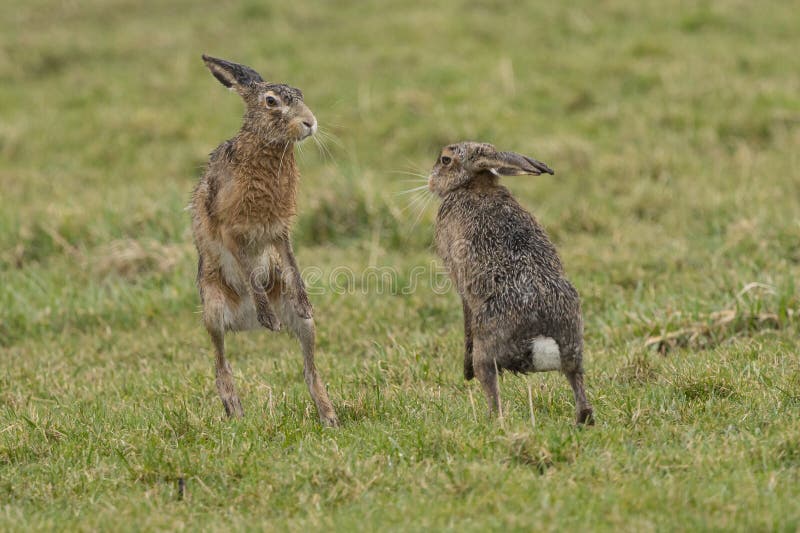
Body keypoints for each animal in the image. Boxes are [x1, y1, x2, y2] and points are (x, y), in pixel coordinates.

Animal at [190, 54, 338, 427]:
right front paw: (268, 319)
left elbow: (292, 264)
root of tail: (241, 323)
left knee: (309, 369)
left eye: (300, 94)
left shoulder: (280, 232)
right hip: (212, 308)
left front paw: (303, 301)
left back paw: (329, 416)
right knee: (221, 363)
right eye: (271, 102)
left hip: (303, 325)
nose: (310, 123)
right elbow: (247, 271)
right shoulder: (232, 232)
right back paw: (236, 410)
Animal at [428, 142, 594, 425]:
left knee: (491, 388)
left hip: (487, 350)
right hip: (573, 345)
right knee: (578, 387)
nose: (430, 181)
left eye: (445, 160)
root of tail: (539, 335)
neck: (473, 186)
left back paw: (490, 419)